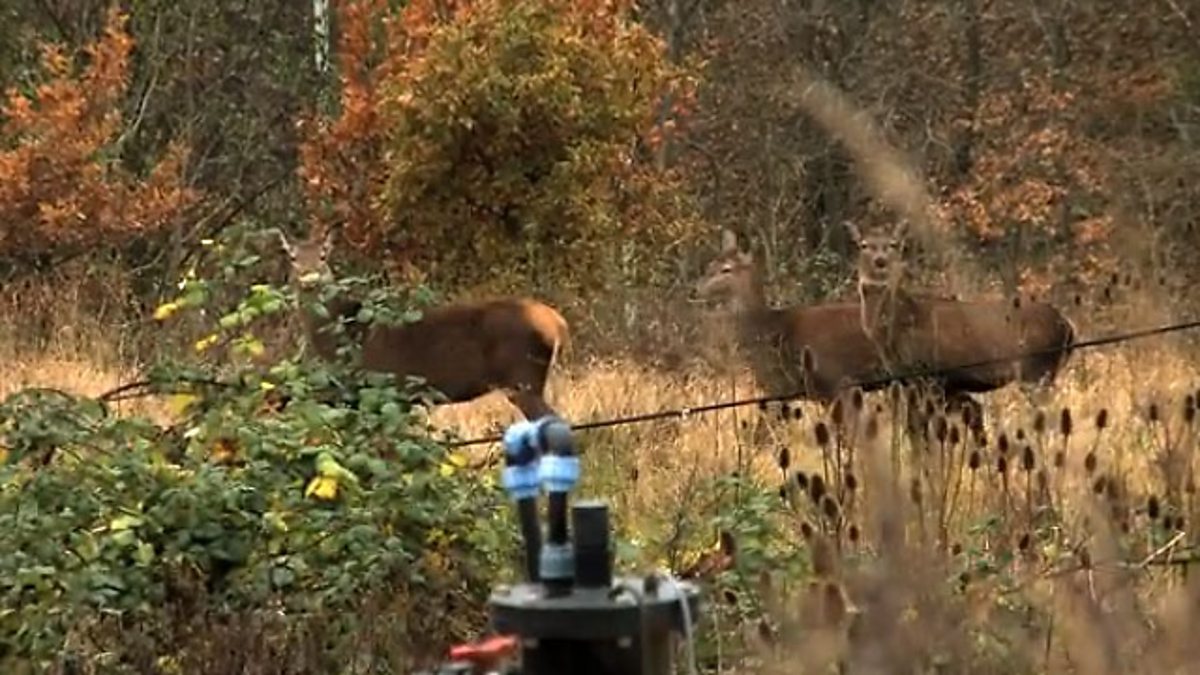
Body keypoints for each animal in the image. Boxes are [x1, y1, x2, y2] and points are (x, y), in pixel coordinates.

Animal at [273, 226, 570, 421]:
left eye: (323, 255)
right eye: (292, 257)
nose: (309, 277)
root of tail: (558, 323)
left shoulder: (385, 389)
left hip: (523, 377)